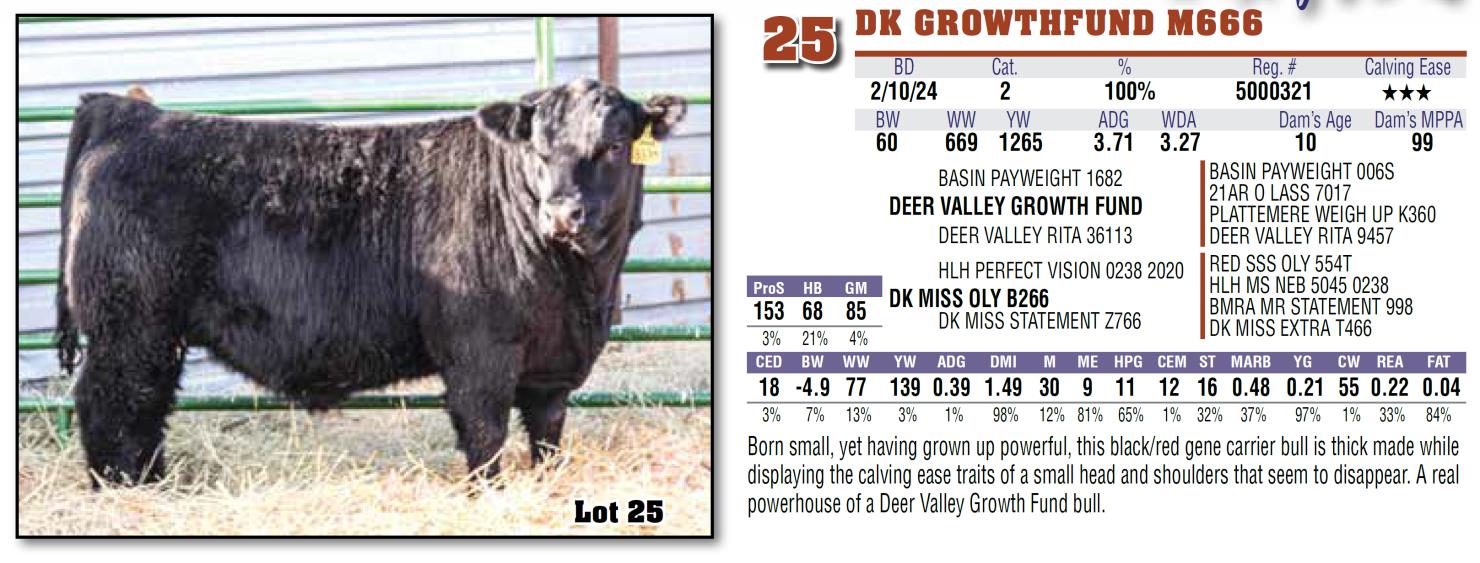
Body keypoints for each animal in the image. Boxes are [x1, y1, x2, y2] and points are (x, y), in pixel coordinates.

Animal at [54, 79, 687, 486]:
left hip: (152, 334)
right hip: (129, 325)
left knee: (146, 405)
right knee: (112, 402)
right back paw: (123, 489)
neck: (577, 286)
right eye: (538, 147)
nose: (562, 212)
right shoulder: (477, 354)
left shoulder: (554, 365)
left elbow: (547, 436)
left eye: (613, 145)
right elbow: (484, 436)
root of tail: (132, 115)